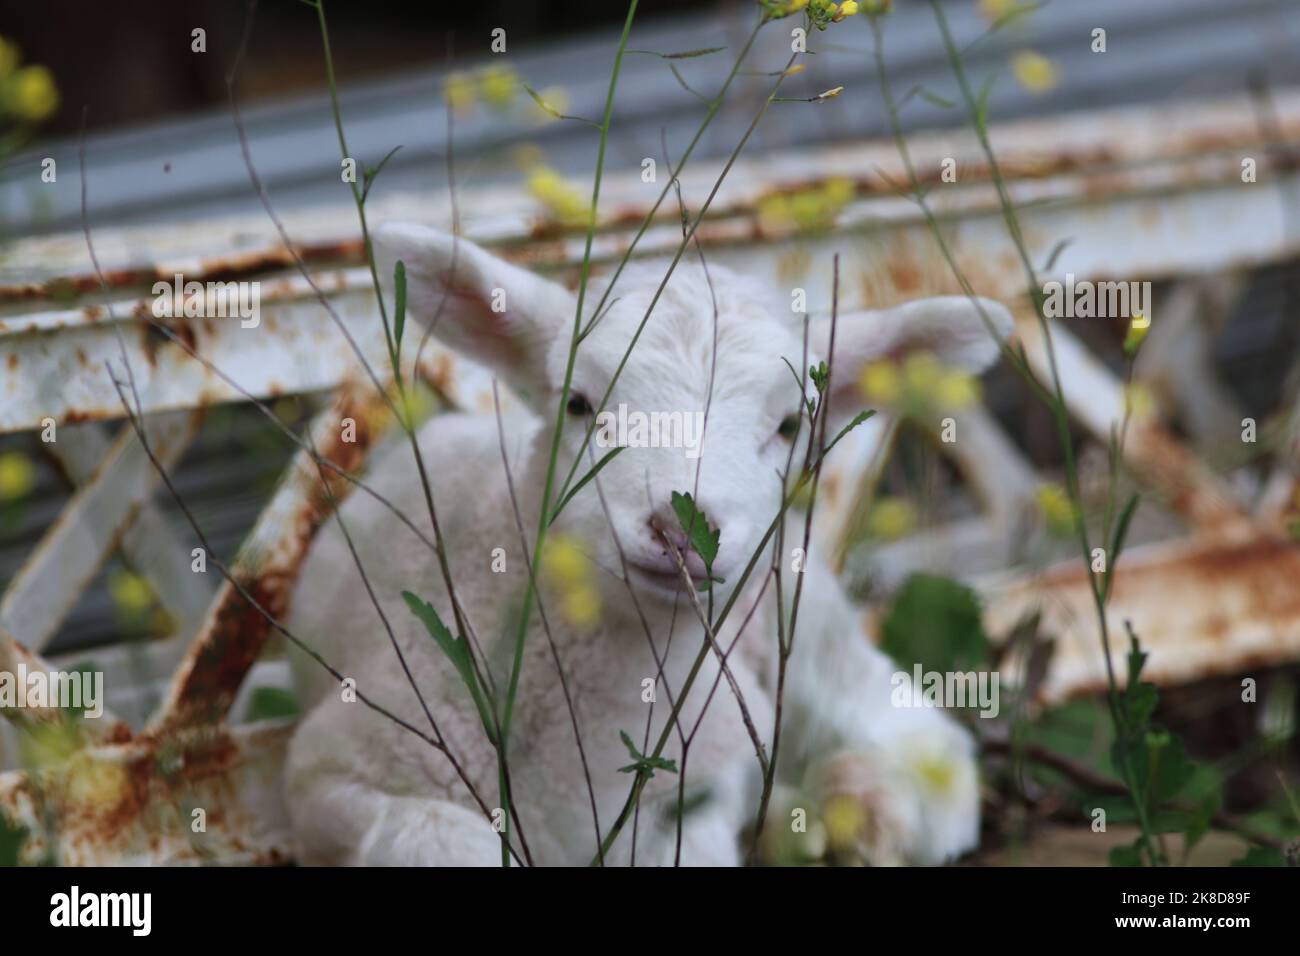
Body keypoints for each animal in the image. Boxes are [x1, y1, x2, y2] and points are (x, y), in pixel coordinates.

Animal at [282, 221, 1013, 866]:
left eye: (788, 425)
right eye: (577, 403)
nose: (681, 531)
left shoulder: (685, 806)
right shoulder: (330, 775)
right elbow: (442, 840)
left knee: (923, 749)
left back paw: (852, 810)